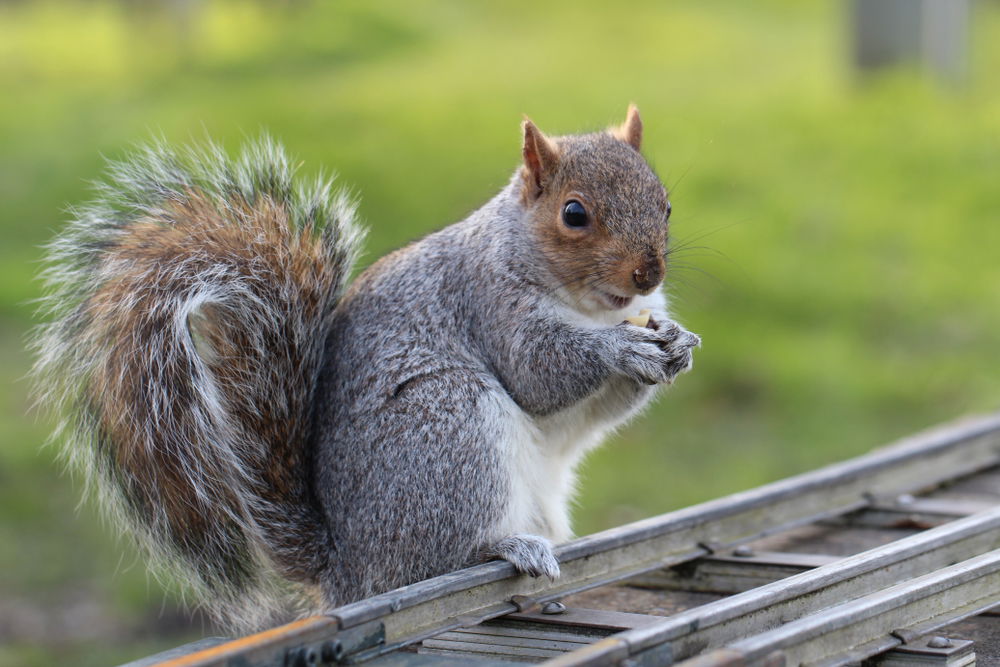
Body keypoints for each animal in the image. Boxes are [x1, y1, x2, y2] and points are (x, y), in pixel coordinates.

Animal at [32, 106, 700, 632]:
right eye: (574, 214)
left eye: (667, 205)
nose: (648, 273)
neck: (593, 308)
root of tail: (346, 570)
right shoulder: (489, 303)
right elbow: (539, 373)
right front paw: (621, 351)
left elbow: (601, 406)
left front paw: (678, 342)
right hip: (449, 424)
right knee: (438, 559)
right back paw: (508, 546)